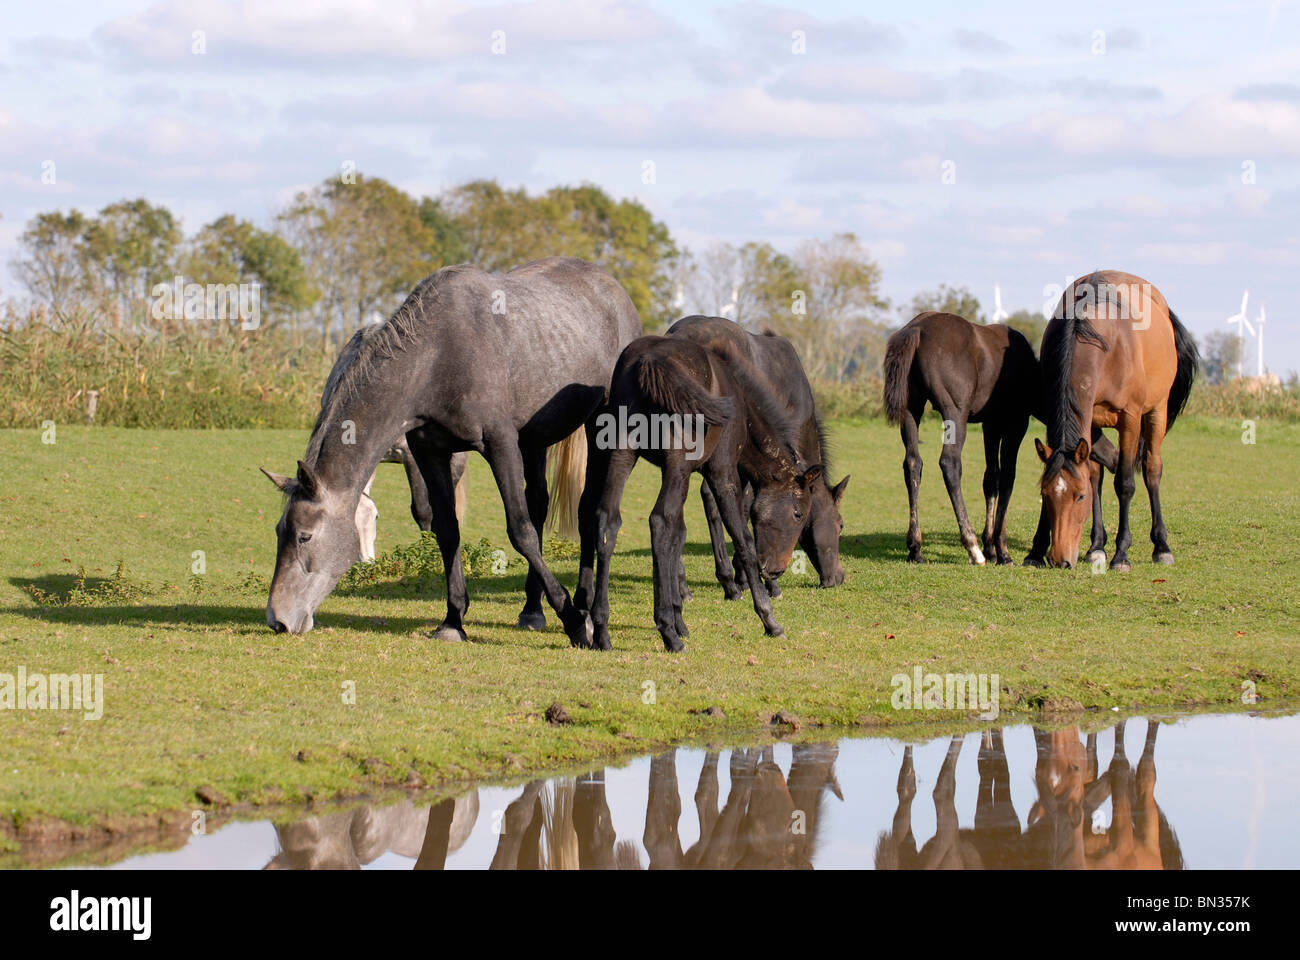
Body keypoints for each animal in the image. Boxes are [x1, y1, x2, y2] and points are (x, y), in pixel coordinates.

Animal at [261, 257, 640, 644]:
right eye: (279, 531)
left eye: (304, 536)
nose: (278, 619)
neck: (438, 356)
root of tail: (613, 287)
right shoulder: (429, 453)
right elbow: (447, 529)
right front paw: (453, 620)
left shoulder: (500, 444)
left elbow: (519, 532)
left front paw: (575, 620)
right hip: (534, 440)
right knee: (538, 504)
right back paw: (532, 610)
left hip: (598, 425)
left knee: (584, 511)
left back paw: (584, 604)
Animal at [580, 335, 823, 652]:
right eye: (798, 514)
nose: (776, 570)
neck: (743, 405)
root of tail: (648, 360)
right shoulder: (722, 472)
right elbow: (742, 538)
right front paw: (769, 619)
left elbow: (679, 536)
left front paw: (680, 618)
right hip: (677, 463)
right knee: (659, 521)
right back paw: (667, 633)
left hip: (623, 454)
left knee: (609, 521)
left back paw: (602, 630)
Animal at [883, 312, 1039, 565]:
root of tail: (917, 329)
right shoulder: (1016, 423)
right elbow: (1007, 477)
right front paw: (1001, 550)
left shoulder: (991, 425)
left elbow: (991, 479)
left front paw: (991, 547)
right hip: (956, 414)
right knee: (950, 463)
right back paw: (972, 546)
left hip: (910, 410)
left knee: (913, 464)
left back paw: (916, 547)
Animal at [1025, 271, 1198, 570]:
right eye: (1045, 494)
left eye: (1079, 496)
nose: (1059, 559)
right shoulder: (1079, 420)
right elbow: (1093, 477)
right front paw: (1040, 551)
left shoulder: (1130, 419)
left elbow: (1125, 484)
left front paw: (1121, 555)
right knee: (1101, 473)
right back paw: (1097, 545)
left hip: (1157, 411)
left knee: (1152, 469)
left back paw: (1161, 546)